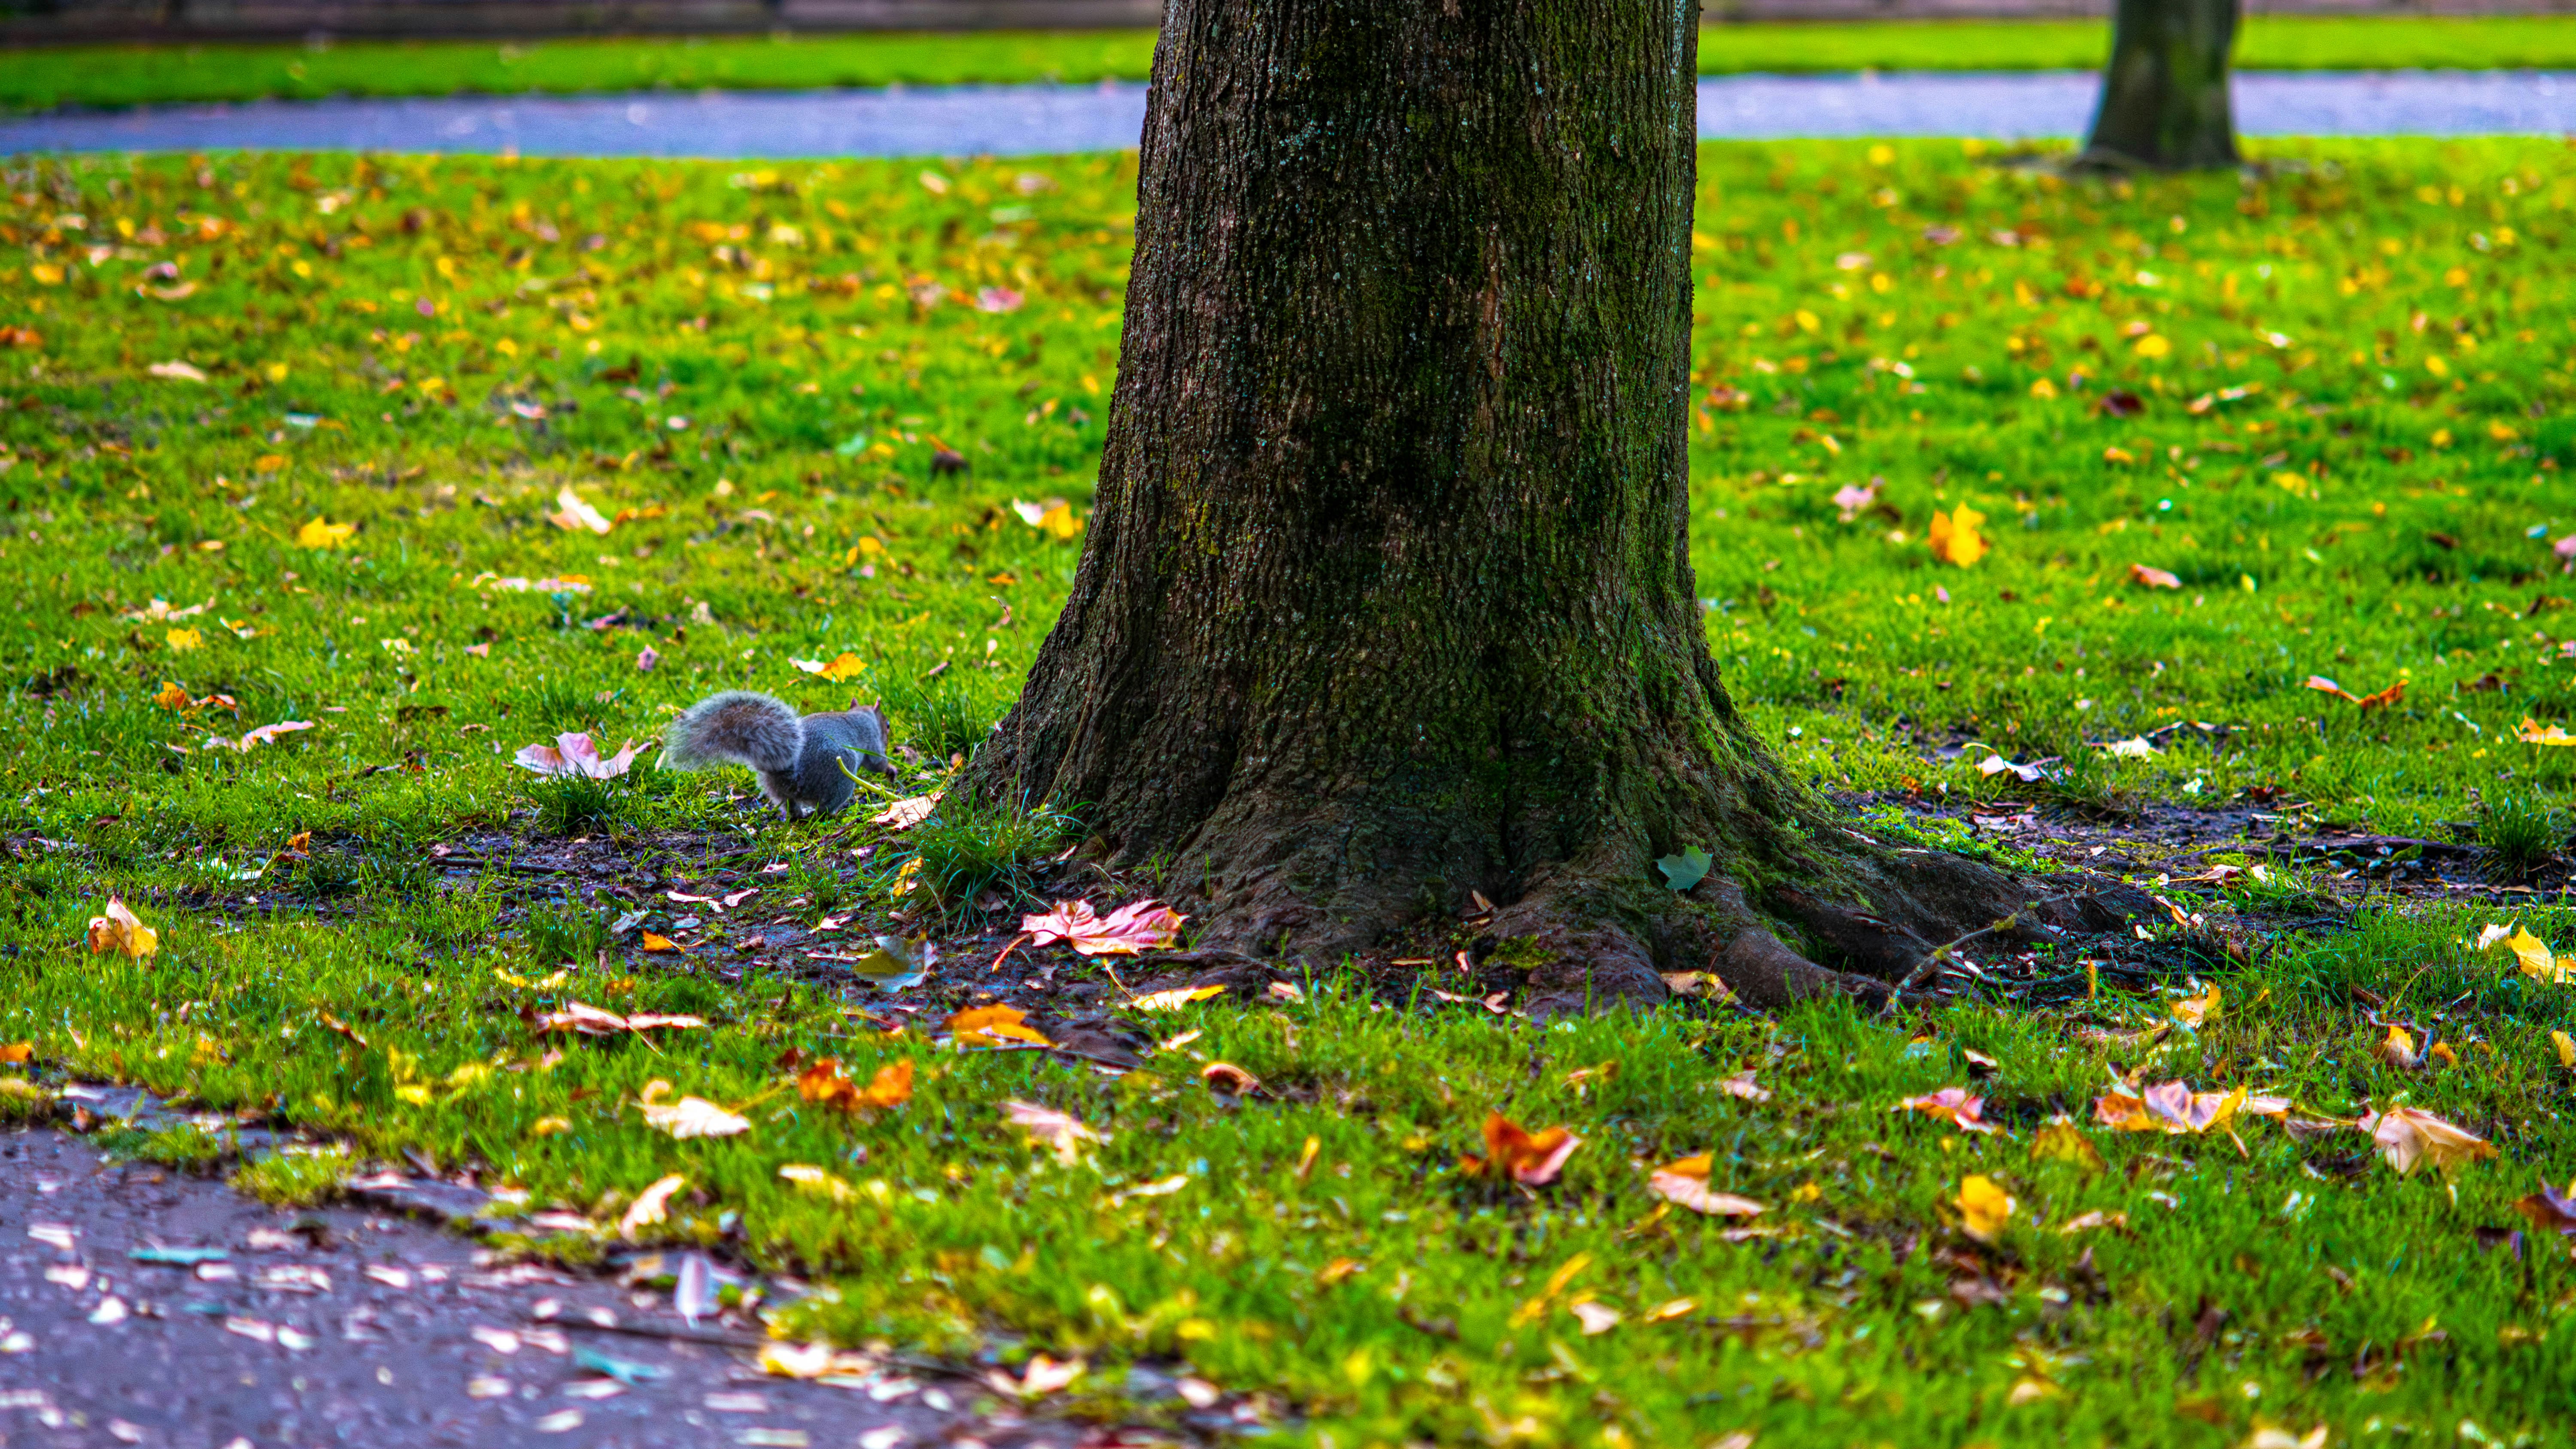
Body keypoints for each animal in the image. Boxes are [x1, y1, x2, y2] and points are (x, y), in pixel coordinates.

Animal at [662, 691, 898, 821]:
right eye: (887, 725)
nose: (888, 734)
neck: (860, 715)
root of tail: (792, 775)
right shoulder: (871, 741)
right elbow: (876, 763)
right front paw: (891, 770)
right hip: (841, 776)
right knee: (824, 809)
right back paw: (835, 814)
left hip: (779, 791)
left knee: (790, 805)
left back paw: (798, 814)